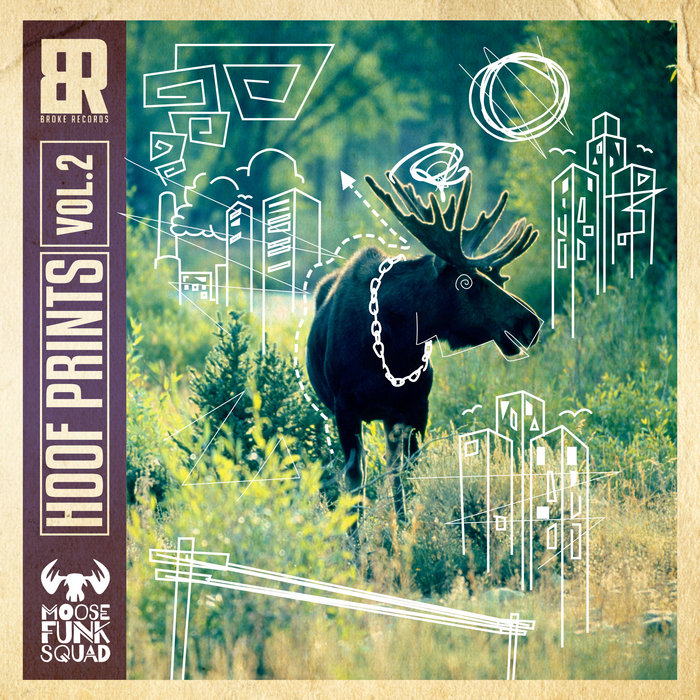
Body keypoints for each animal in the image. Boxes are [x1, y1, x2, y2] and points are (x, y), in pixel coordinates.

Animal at [306, 170, 541, 523]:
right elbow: (355, 485)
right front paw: (356, 538)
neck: (396, 348)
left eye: (495, 279)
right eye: (468, 282)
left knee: (393, 470)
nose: (530, 323)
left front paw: (406, 532)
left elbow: (407, 480)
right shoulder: (345, 409)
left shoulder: (417, 408)